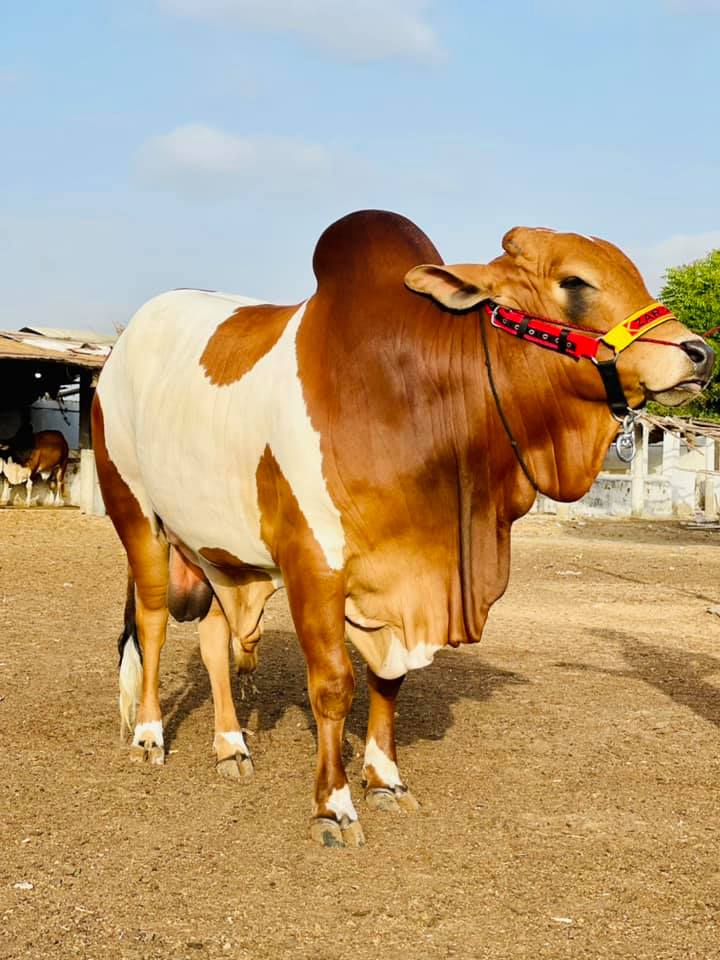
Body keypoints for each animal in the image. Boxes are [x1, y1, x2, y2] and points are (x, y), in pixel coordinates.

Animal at [93, 210, 714, 848]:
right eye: (574, 282)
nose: (699, 352)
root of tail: (119, 352)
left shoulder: (401, 584)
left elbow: (387, 682)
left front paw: (385, 780)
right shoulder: (314, 564)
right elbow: (333, 684)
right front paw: (334, 804)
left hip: (221, 551)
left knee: (216, 637)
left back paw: (231, 746)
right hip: (136, 515)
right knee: (152, 624)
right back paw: (149, 735)